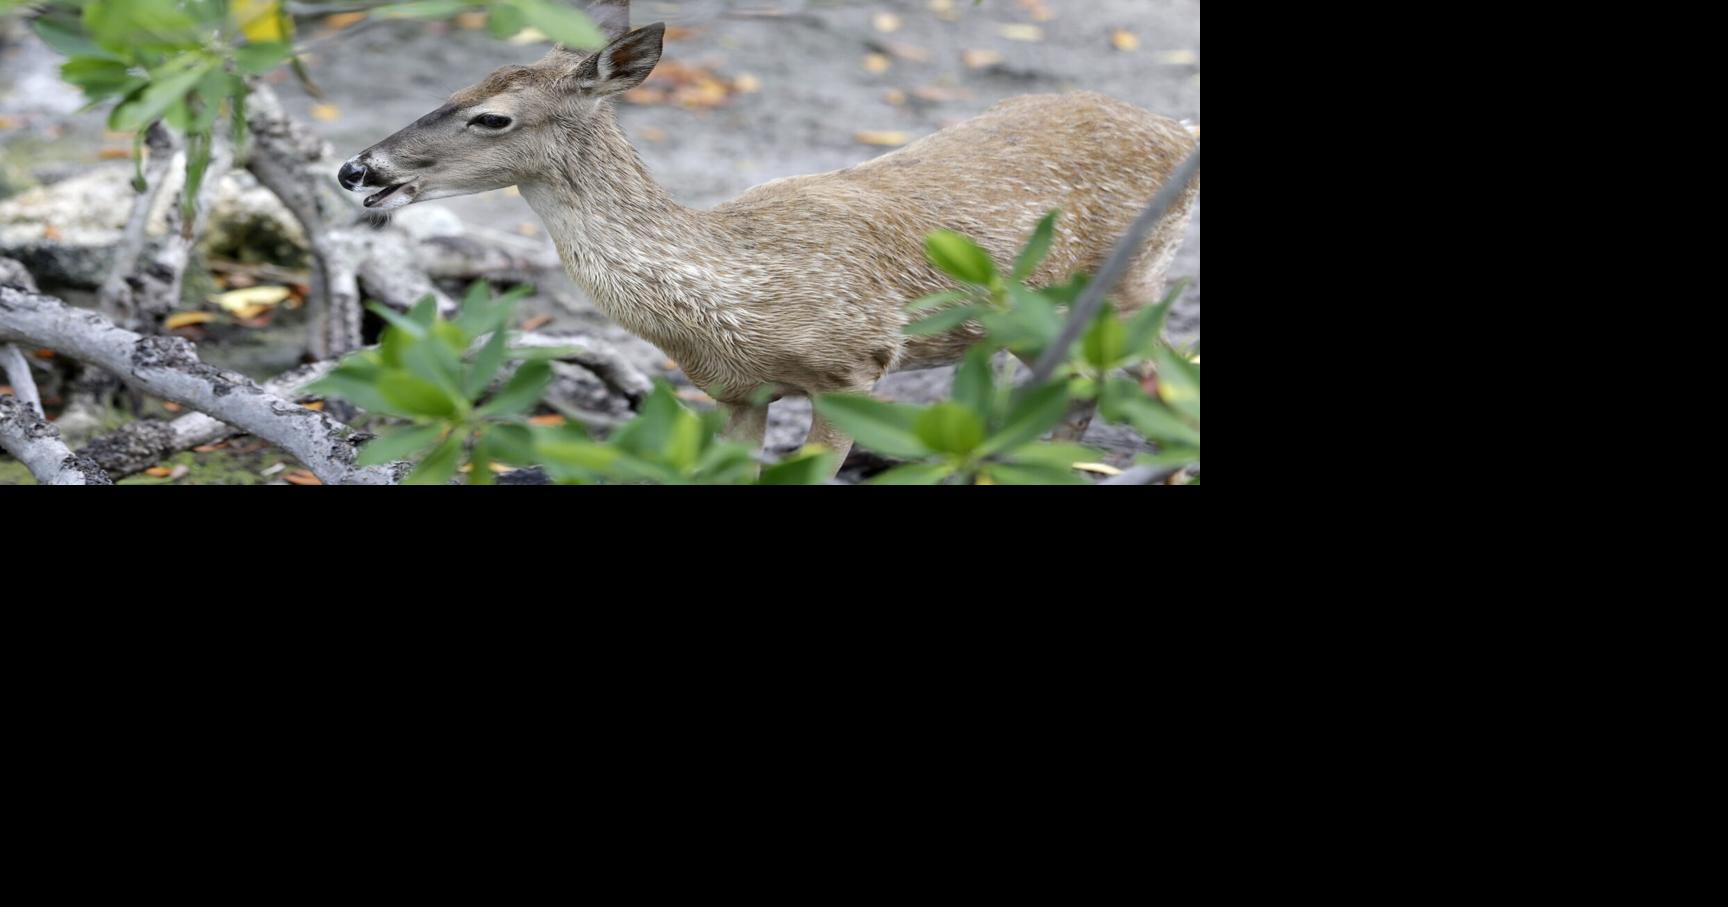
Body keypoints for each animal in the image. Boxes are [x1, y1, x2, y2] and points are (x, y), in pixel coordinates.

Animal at [339, 0, 1198, 474]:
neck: (735, 287)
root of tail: (1174, 126)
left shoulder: (858, 364)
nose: (357, 166)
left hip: (1132, 282)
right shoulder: (735, 391)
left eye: (493, 117)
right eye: (460, 84)